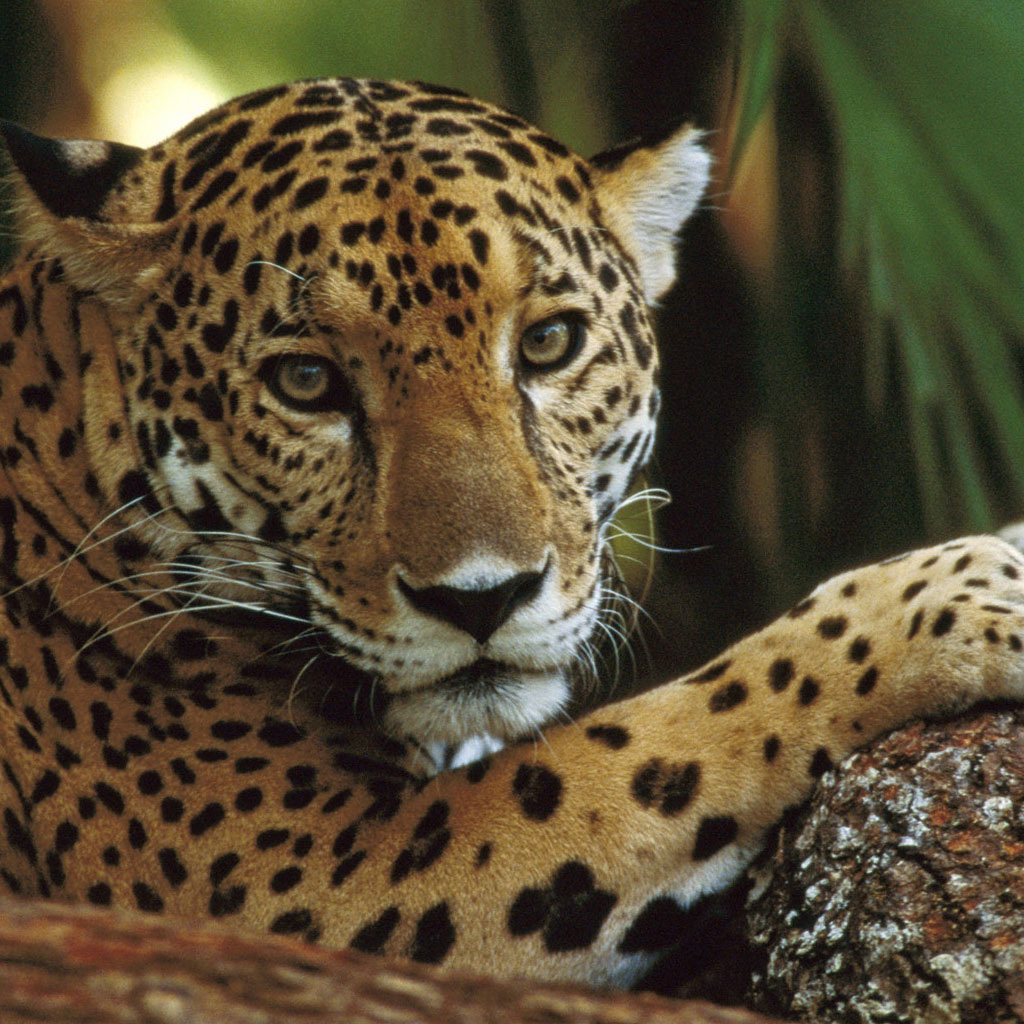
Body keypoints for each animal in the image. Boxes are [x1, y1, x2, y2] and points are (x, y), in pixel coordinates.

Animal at [0, 76, 1023, 989]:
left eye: (547, 344)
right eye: (306, 382)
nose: (482, 599)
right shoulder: (294, 883)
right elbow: (684, 728)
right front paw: (954, 596)